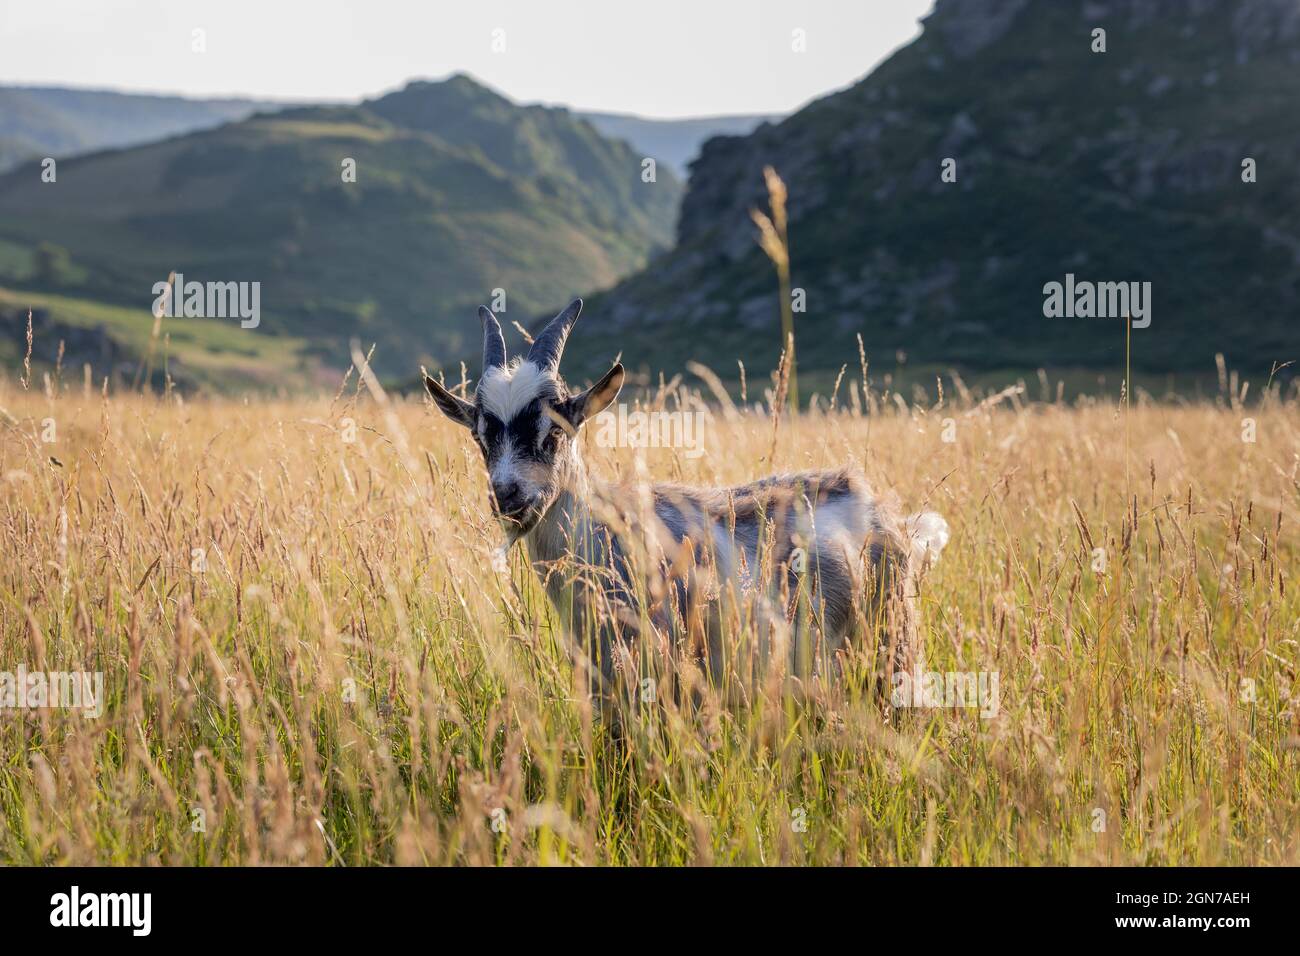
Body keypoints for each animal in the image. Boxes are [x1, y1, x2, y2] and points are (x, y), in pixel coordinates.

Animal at [426, 303, 946, 712]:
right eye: (481, 438)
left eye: (554, 432)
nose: (507, 494)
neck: (605, 533)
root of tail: (883, 510)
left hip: (891, 648)